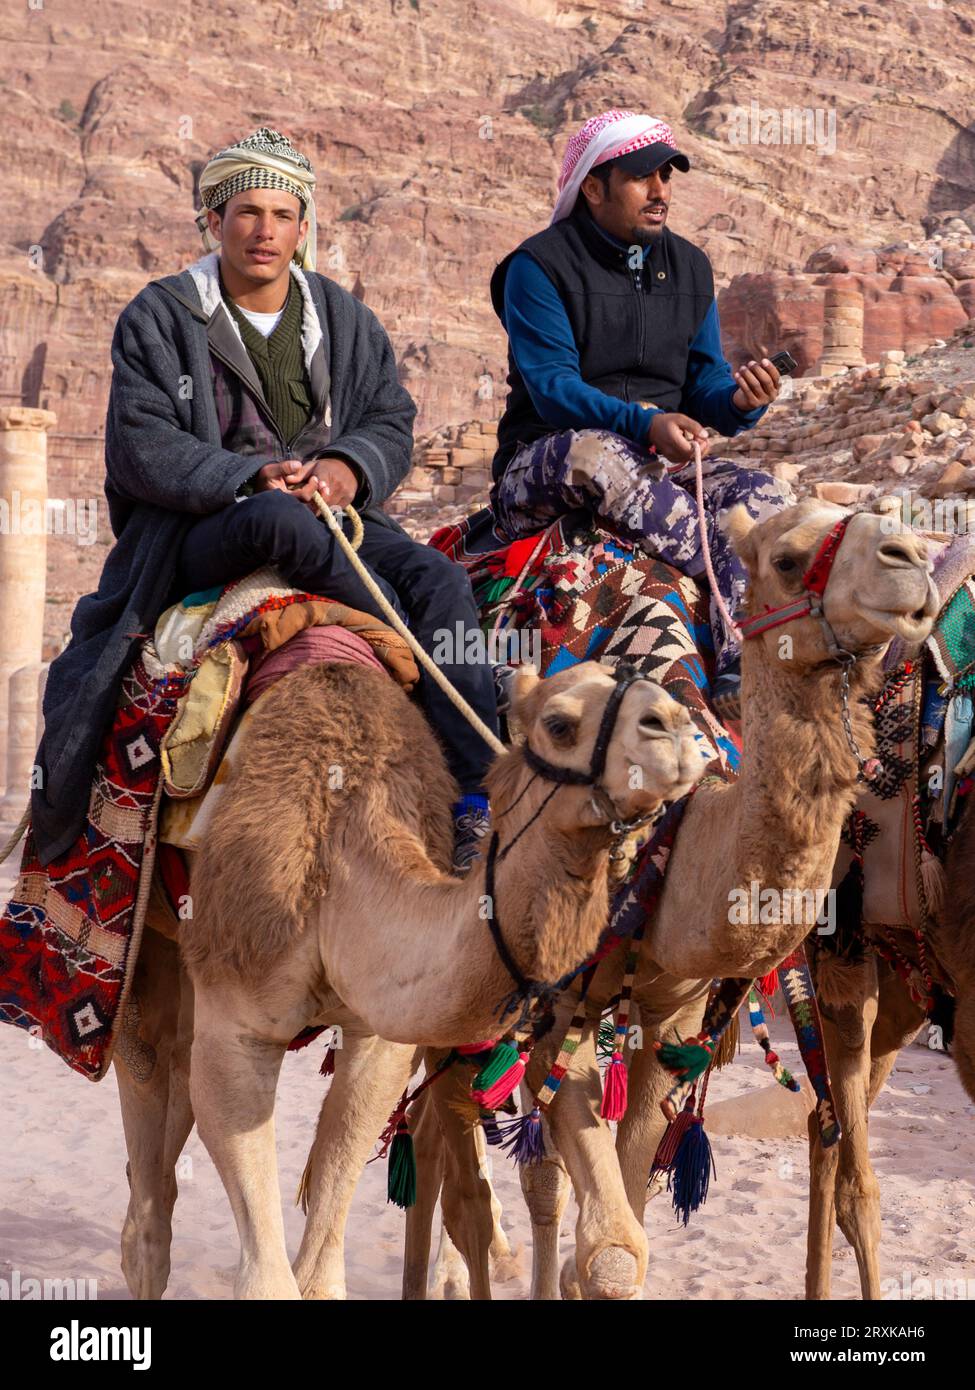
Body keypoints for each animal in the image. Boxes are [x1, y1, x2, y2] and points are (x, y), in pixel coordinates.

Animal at [115, 656, 704, 1299]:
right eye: (559, 723)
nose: (675, 726)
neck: (335, 837)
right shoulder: (237, 1021)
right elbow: (267, 1277)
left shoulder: (377, 1034)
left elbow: (324, 1257)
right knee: (146, 1127)